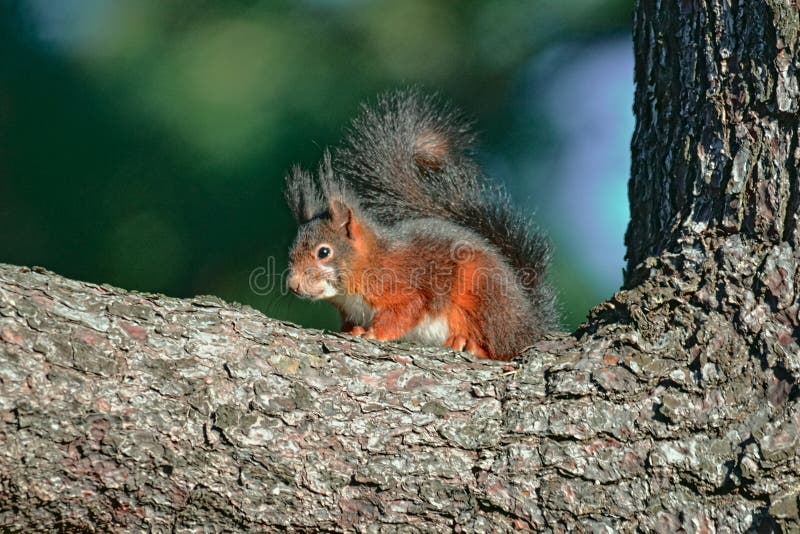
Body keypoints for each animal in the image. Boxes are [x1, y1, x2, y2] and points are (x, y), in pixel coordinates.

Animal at [285, 90, 557, 361]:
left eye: (324, 252)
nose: (293, 285)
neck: (369, 263)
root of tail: (531, 324)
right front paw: (355, 330)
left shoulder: (405, 286)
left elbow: (403, 313)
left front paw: (372, 333)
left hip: (483, 293)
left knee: (501, 348)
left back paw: (470, 344)